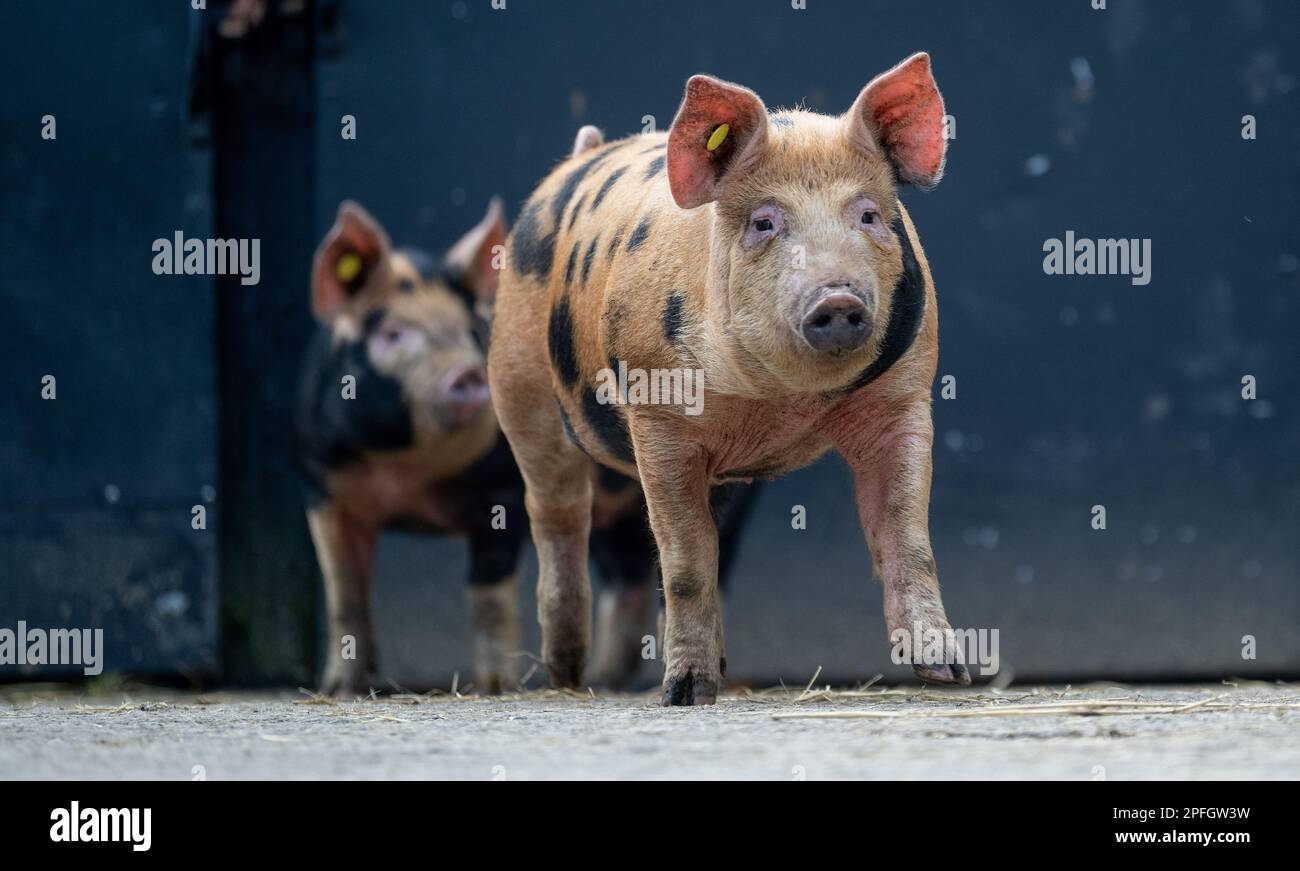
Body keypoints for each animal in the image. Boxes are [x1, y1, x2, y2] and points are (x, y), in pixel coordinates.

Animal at [488, 53, 968, 705]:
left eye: (869, 215)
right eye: (765, 222)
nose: (838, 297)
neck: (783, 398)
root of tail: (580, 155)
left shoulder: (904, 398)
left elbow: (907, 535)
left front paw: (949, 673)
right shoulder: (657, 417)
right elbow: (686, 559)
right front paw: (685, 695)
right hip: (521, 391)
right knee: (557, 518)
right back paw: (565, 678)